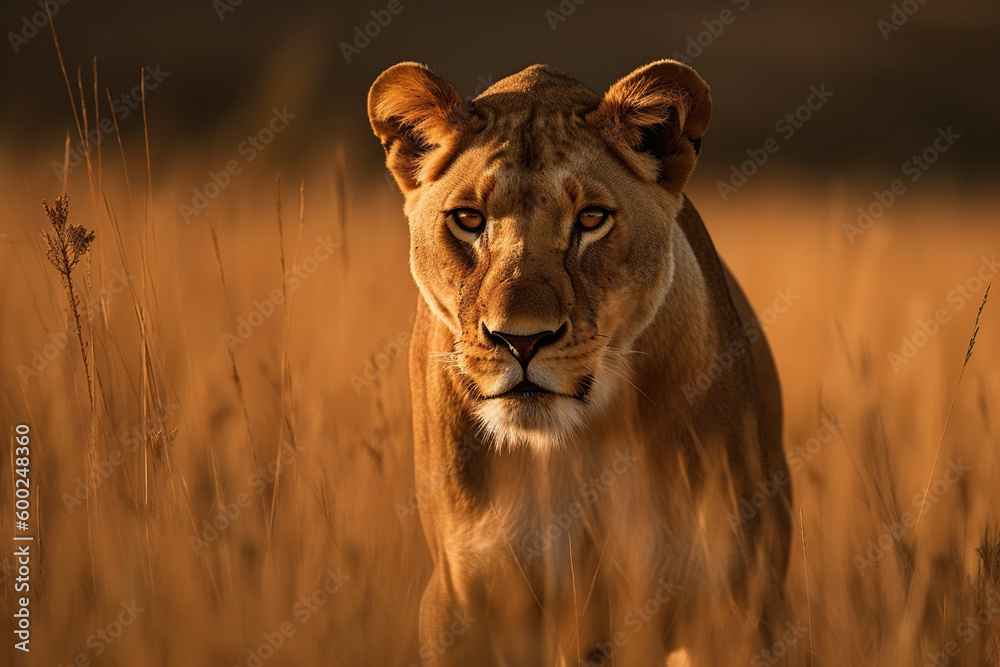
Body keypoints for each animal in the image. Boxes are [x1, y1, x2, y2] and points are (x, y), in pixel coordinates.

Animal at [368, 60, 793, 666]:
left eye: (591, 219)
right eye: (468, 219)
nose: (521, 340)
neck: (570, 449)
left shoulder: (741, 598)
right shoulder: (461, 599)